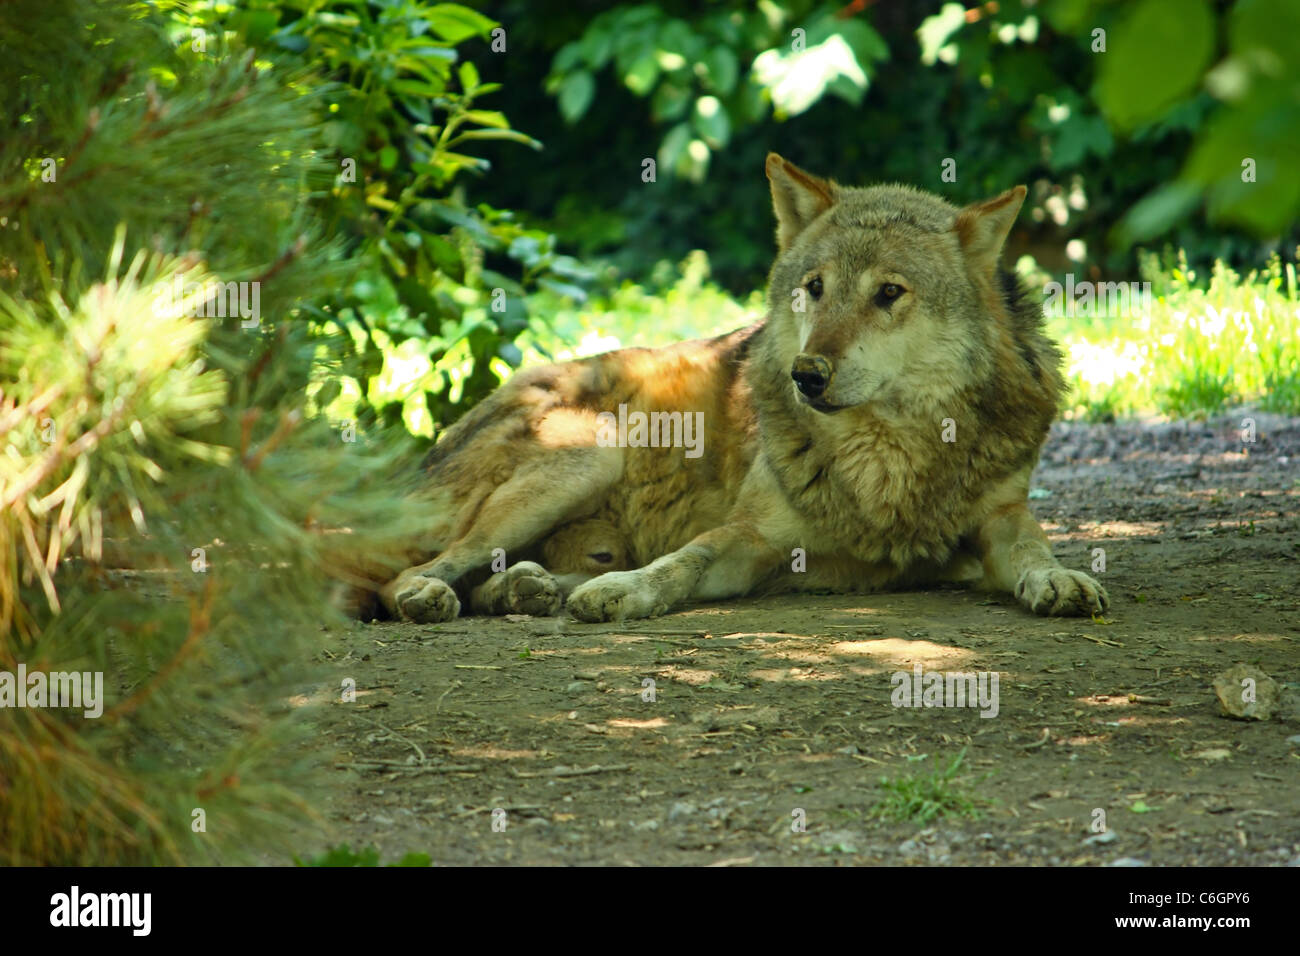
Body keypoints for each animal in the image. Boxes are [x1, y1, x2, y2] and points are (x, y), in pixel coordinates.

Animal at [362, 154, 1109, 624]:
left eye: (889, 293)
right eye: (814, 289)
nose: (806, 375)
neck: (886, 463)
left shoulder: (1000, 517)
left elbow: (1033, 547)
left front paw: (1060, 579)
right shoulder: (752, 537)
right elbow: (681, 563)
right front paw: (625, 592)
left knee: (489, 580)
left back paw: (526, 590)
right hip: (588, 454)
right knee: (407, 577)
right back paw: (438, 597)